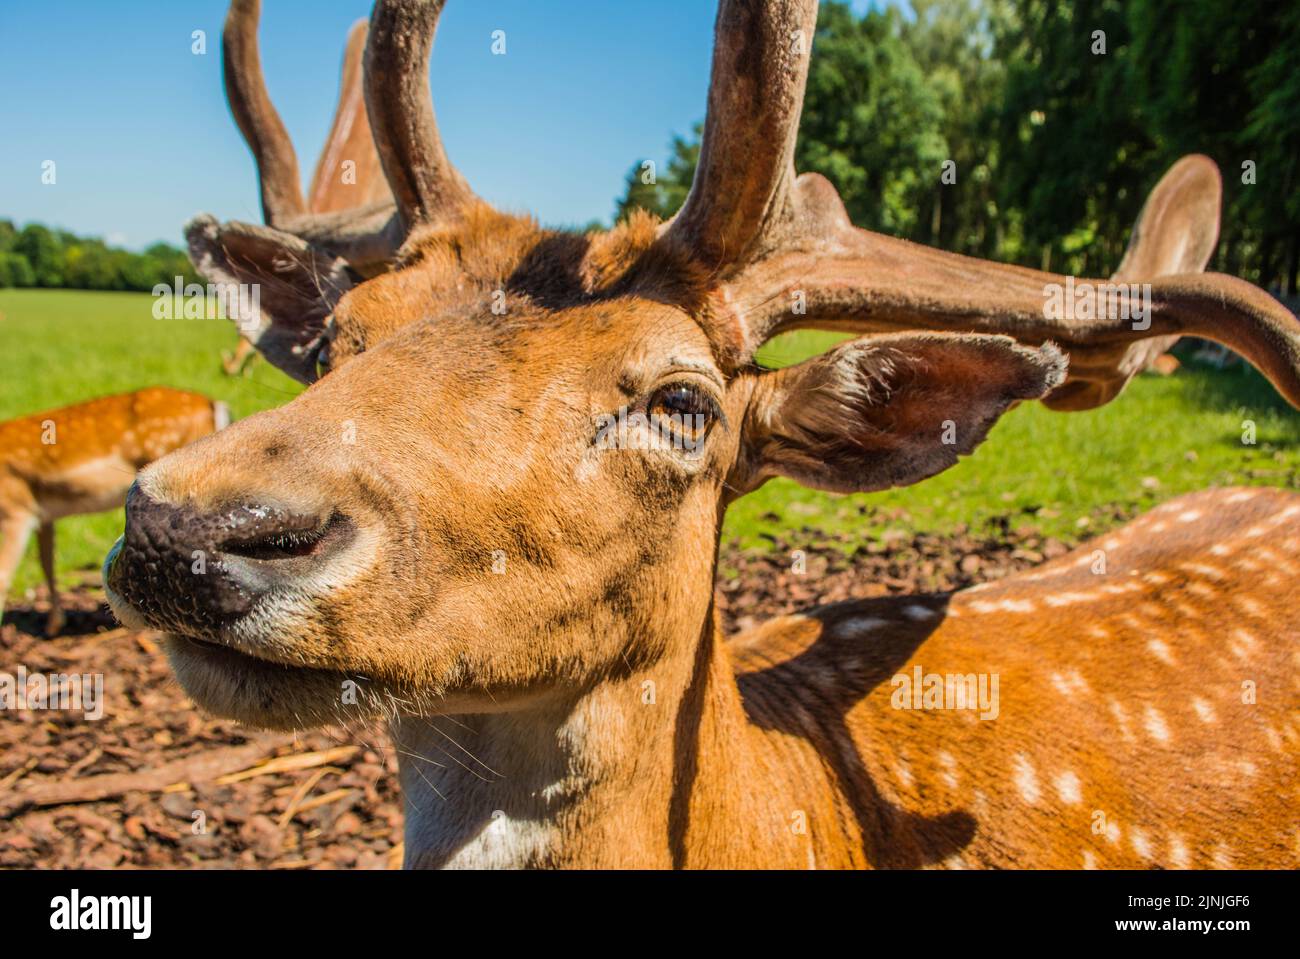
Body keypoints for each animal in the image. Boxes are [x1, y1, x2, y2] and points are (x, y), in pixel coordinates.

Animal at [1, 388, 228, 636]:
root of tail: (213, 404)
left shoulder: (17, 509)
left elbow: (4, 575)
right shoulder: (44, 516)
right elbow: (46, 562)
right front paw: (54, 625)